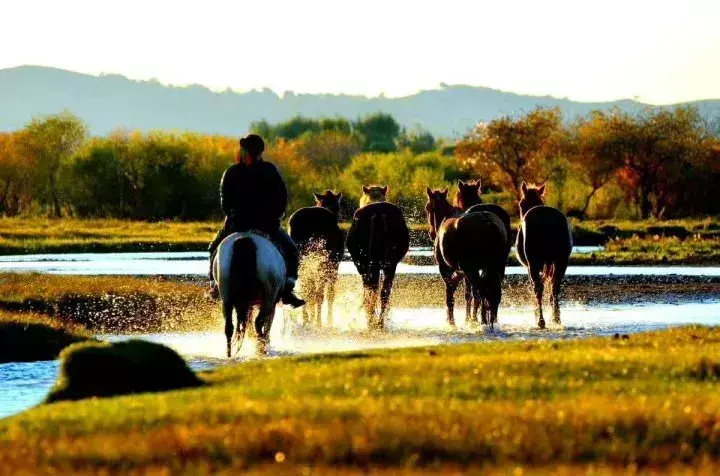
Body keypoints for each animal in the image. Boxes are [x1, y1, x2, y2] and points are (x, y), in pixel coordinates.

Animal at [286, 190, 346, 328]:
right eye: (339, 207)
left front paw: (311, 318)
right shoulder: (333, 266)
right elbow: (329, 295)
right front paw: (328, 321)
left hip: (304, 261)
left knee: (305, 290)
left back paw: (306, 319)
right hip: (321, 262)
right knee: (318, 294)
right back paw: (318, 321)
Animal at [348, 184, 410, 330]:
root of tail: (378, 213)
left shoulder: (363, 266)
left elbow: (367, 289)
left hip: (371, 263)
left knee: (372, 290)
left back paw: (372, 321)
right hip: (390, 264)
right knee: (384, 292)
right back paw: (380, 322)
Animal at [424, 186, 510, 328]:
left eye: (428, 207)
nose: (431, 233)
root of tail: (488, 222)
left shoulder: (446, 268)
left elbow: (450, 292)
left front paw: (451, 321)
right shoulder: (461, 271)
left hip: (472, 269)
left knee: (481, 291)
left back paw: (483, 320)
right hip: (497, 266)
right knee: (493, 293)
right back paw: (491, 320)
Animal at [516, 181, 572, 328]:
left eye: (521, 203)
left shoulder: (529, 267)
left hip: (534, 263)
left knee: (538, 288)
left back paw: (541, 320)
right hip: (561, 261)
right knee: (555, 287)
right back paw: (556, 318)